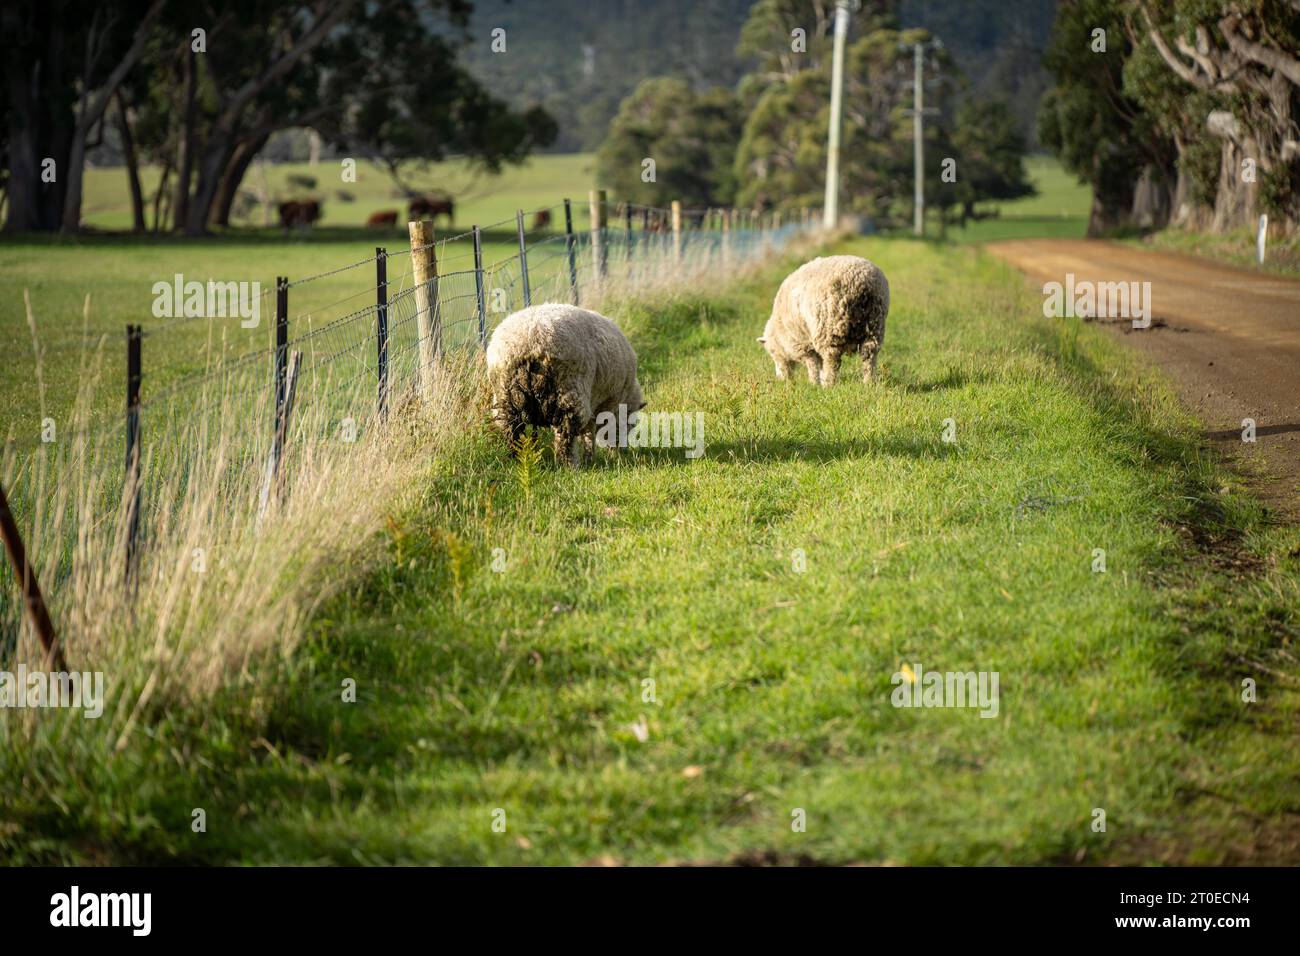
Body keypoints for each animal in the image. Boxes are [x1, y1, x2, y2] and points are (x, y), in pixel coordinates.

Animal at [486, 303, 644, 466]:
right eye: (631, 422)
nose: (622, 450)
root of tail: (530, 340)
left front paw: (590, 458)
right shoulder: (606, 402)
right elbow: (590, 433)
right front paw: (591, 458)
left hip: (505, 398)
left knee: (512, 431)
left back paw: (517, 460)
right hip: (569, 392)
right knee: (565, 435)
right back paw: (568, 465)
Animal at [758, 255, 890, 387]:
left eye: (772, 352)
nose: (780, 379)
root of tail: (859, 282)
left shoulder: (803, 345)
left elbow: (812, 364)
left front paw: (814, 383)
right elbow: (819, 363)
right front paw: (819, 379)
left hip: (828, 329)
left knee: (832, 359)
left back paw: (829, 384)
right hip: (875, 324)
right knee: (869, 355)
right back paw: (869, 382)